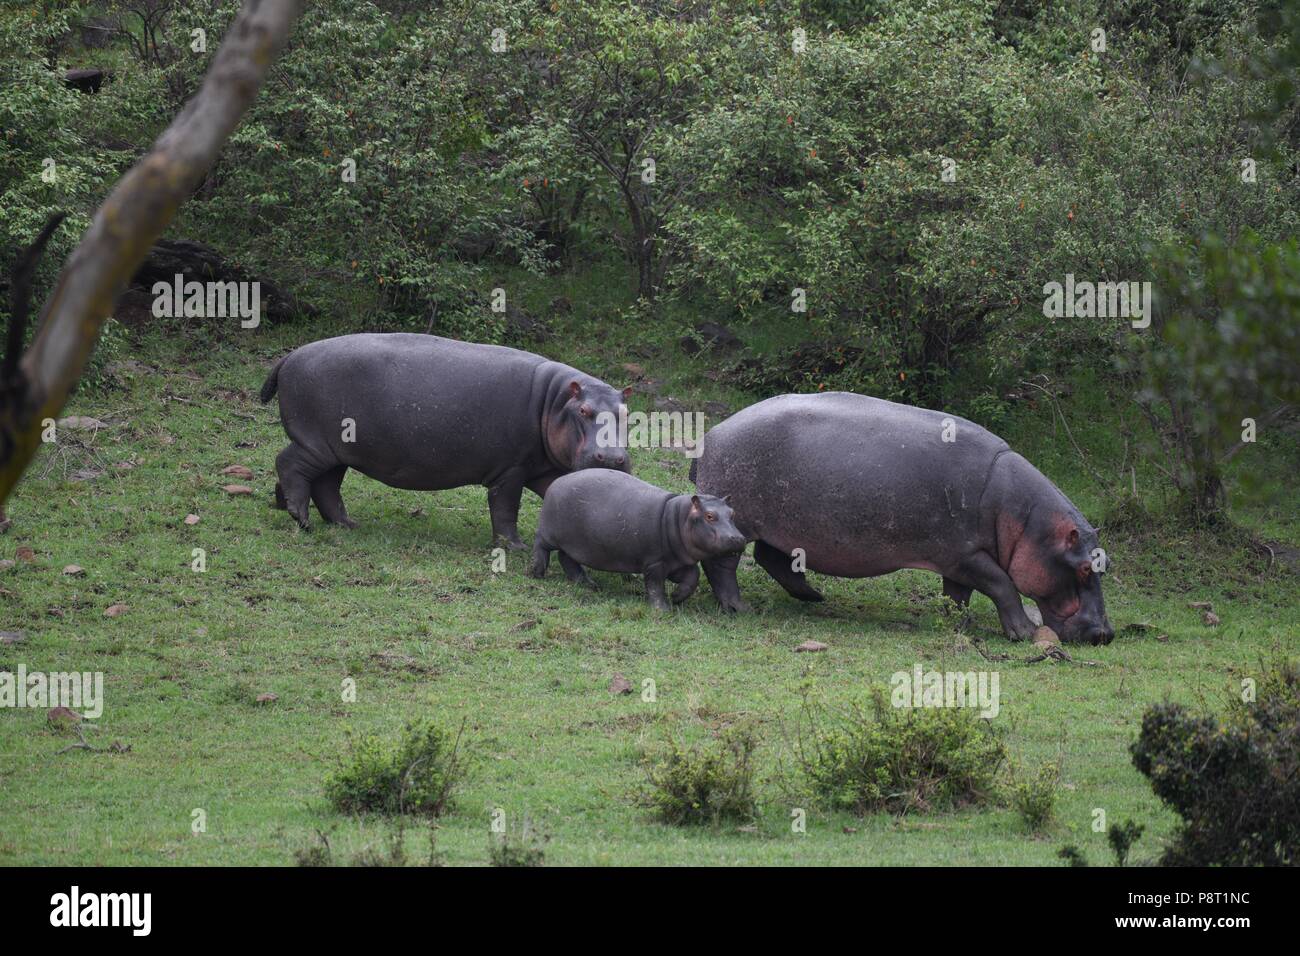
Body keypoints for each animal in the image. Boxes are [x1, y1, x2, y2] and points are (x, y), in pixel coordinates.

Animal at [261, 333, 631, 546]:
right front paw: (514, 547)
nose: (613, 459)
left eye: (627, 412)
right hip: (316, 443)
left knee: (327, 486)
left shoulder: (542, 469)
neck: (553, 402)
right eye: (583, 410)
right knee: (289, 463)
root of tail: (289, 356)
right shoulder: (511, 471)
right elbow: (505, 508)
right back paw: (301, 519)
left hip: (338, 450)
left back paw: (348, 525)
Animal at [529, 470, 746, 610]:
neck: (677, 516)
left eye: (733, 513)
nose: (738, 538)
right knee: (540, 544)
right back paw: (537, 572)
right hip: (549, 534)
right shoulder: (655, 563)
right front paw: (663, 609)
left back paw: (589, 584)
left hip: (575, 543)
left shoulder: (678, 563)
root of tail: (556, 482)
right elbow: (655, 586)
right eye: (709, 516)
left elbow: (693, 576)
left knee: (567, 559)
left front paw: (676, 597)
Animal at [690, 392, 1114, 645]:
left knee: (772, 558)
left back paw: (814, 596)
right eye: (1081, 568)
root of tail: (714, 432)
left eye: (1104, 564)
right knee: (724, 566)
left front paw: (959, 625)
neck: (1025, 521)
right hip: (739, 524)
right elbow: (1003, 585)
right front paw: (1024, 632)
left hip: (782, 525)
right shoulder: (966, 554)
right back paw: (738, 608)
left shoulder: (957, 560)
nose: (1106, 633)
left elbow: (958, 595)